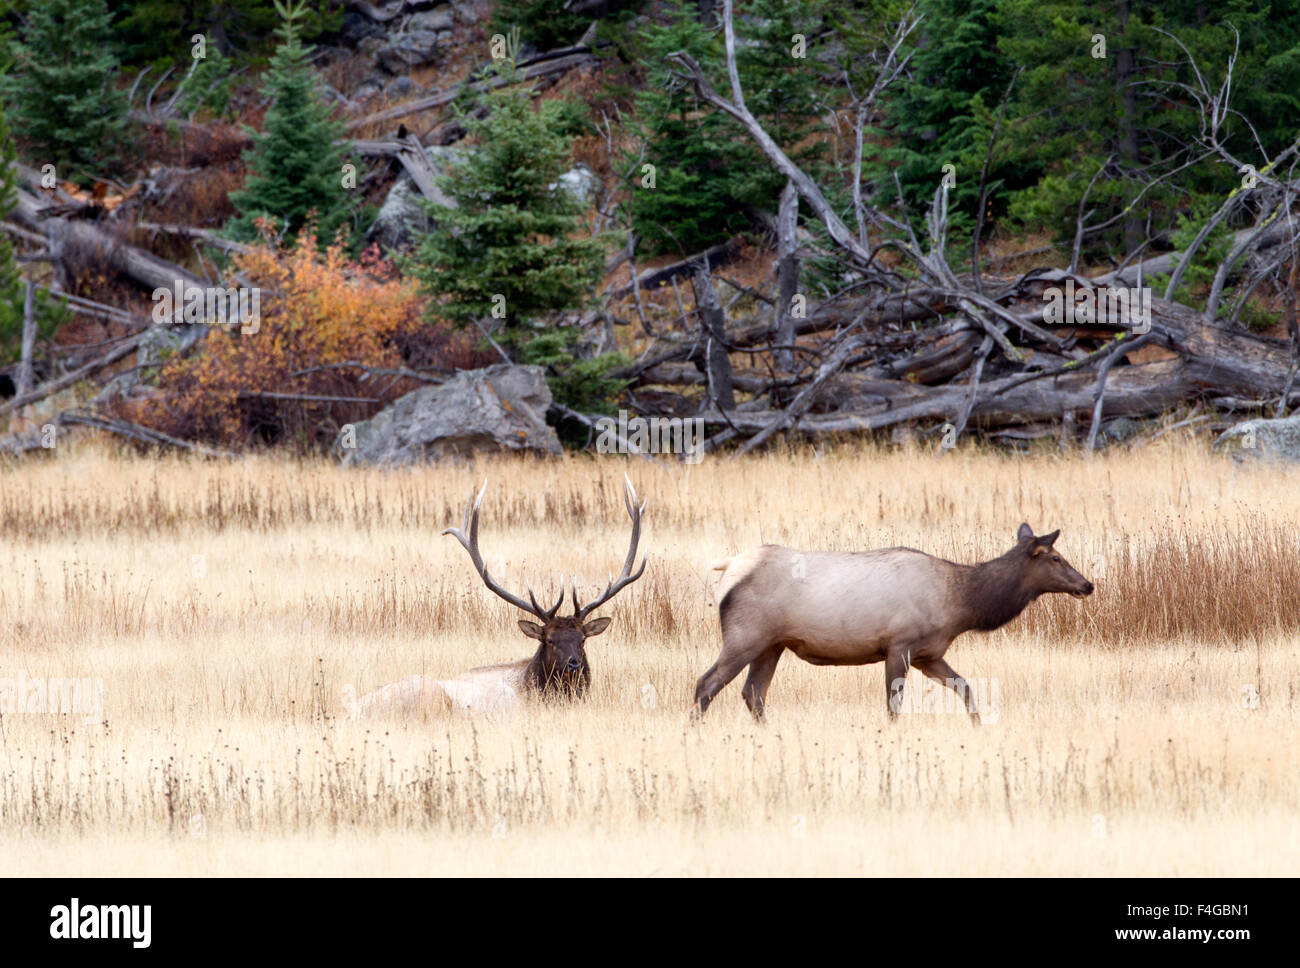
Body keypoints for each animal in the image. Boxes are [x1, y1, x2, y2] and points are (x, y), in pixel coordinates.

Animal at [694, 523, 1094, 724]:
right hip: (745, 634)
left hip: (771, 644)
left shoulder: (929, 654)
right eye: (1056, 558)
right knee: (706, 683)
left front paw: (978, 726)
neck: (960, 605)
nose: (1088, 584)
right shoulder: (899, 644)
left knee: (753, 693)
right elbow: (894, 703)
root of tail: (727, 567)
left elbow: (965, 688)